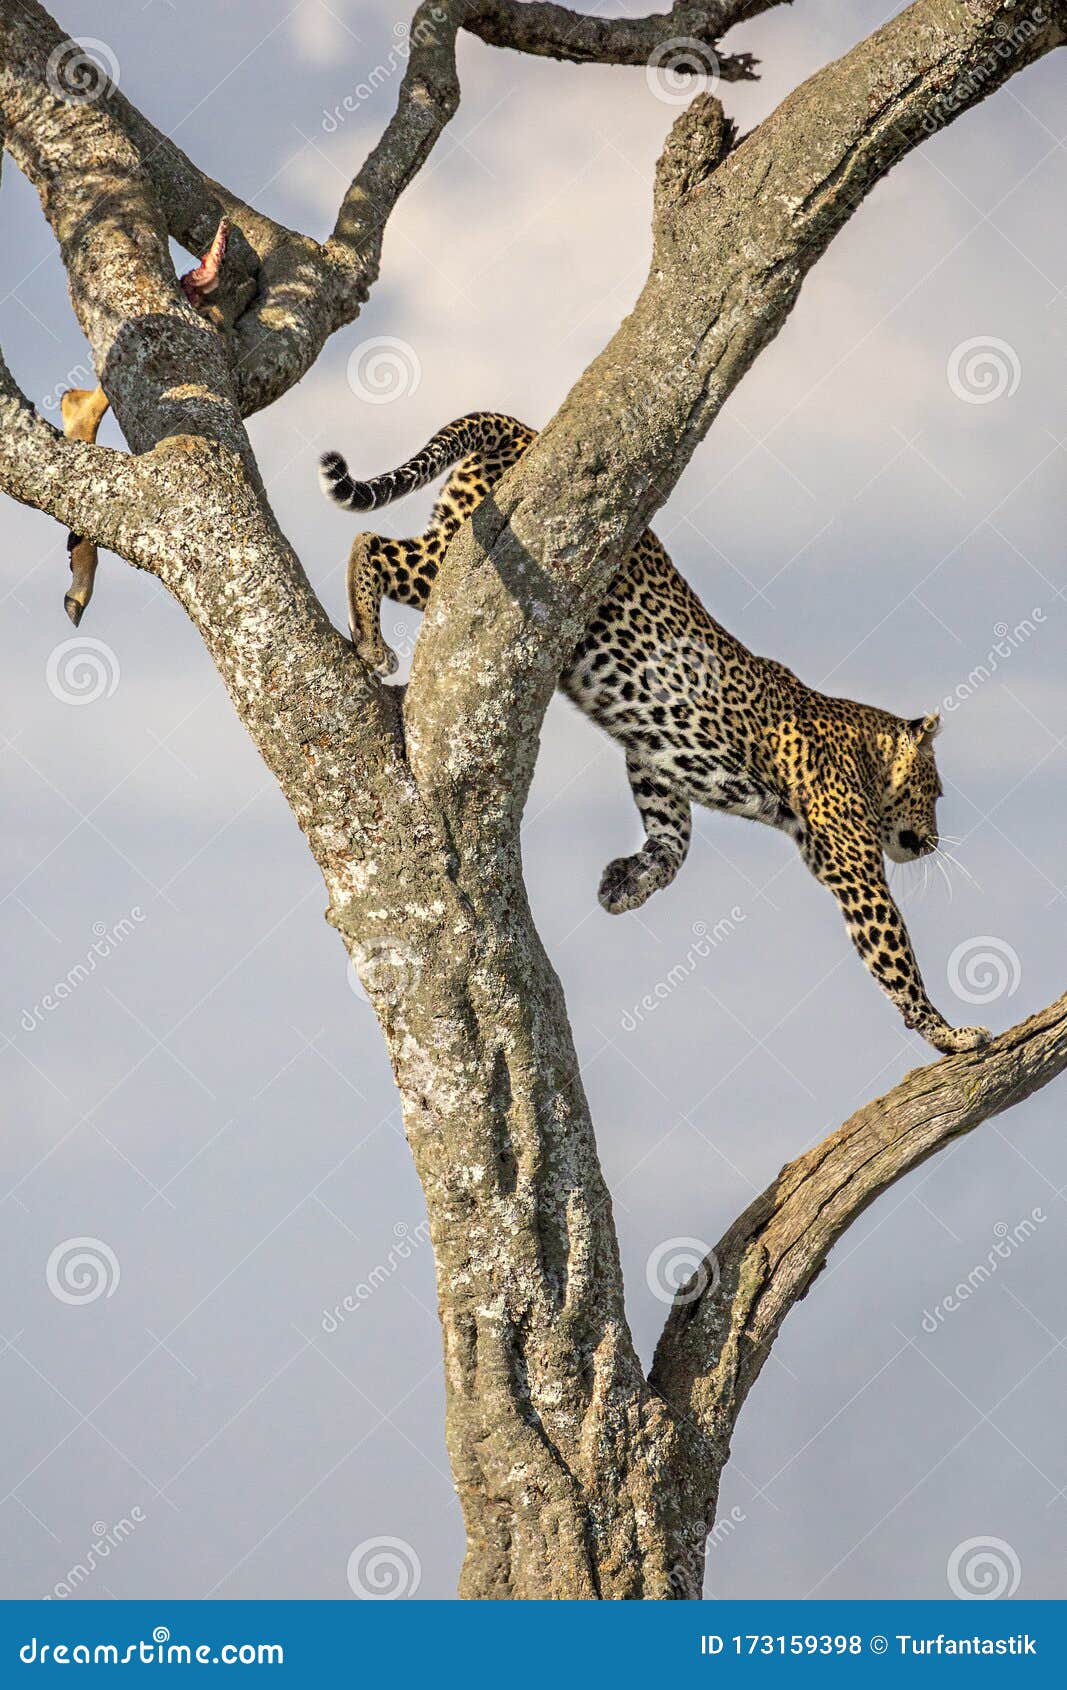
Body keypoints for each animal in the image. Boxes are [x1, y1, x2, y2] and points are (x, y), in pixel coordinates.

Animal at [319, 412, 990, 1056]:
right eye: (934, 793)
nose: (932, 842)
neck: (863, 751)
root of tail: (521, 426)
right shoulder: (853, 866)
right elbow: (897, 957)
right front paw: (951, 1034)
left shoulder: (656, 761)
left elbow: (673, 843)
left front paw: (626, 882)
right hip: (480, 563)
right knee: (369, 544)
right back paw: (372, 643)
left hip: (460, 554)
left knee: (381, 546)